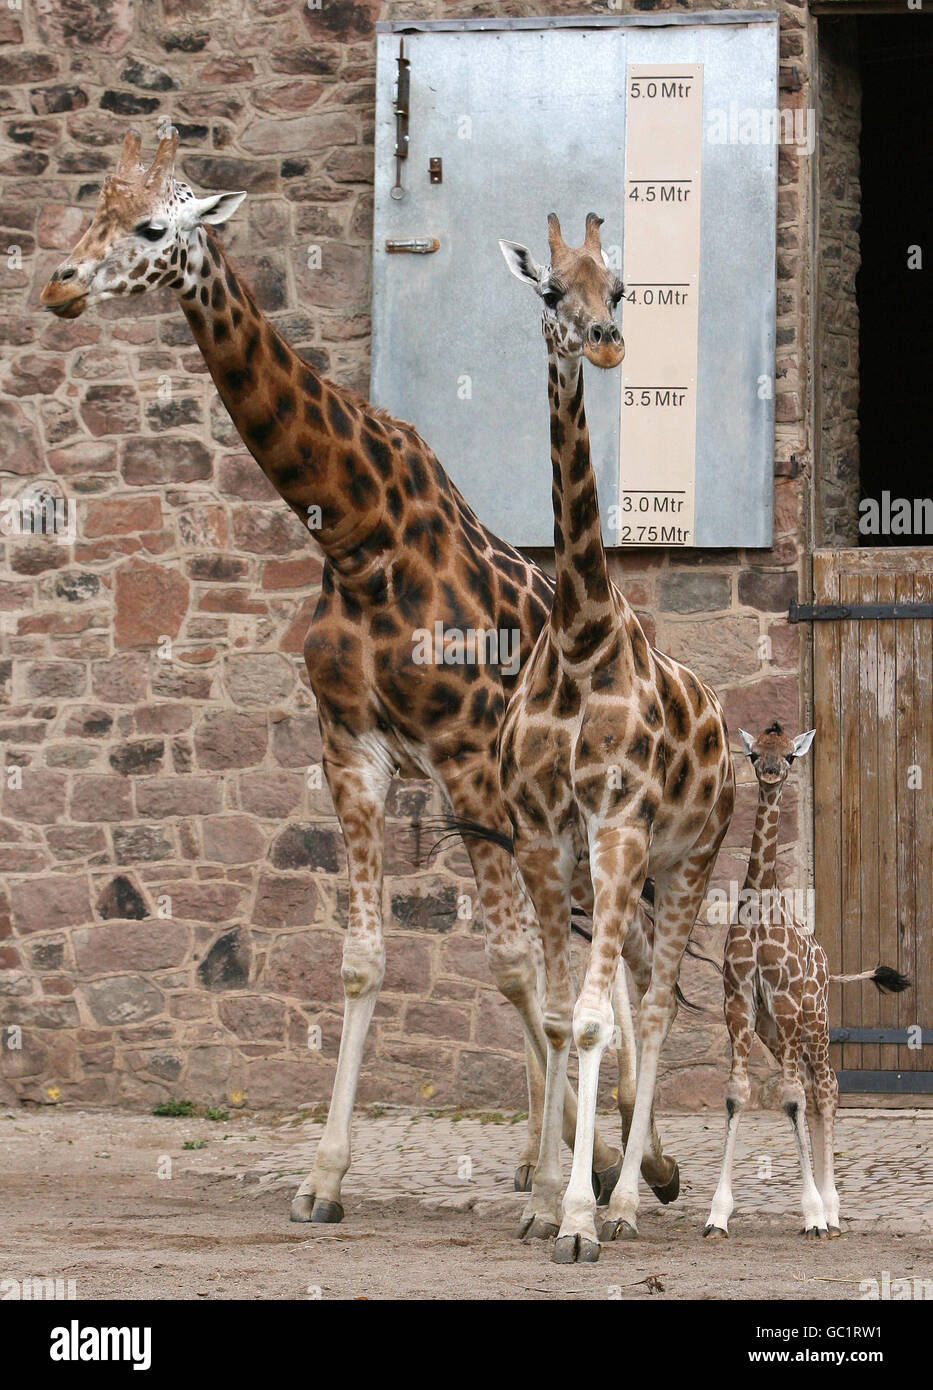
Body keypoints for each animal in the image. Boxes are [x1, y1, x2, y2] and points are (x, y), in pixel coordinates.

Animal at [39, 127, 635, 1220]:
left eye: (151, 229)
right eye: (93, 212)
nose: (58, 285)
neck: (356, 535)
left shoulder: (466, 760)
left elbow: (512, 966)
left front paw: (564, 1170)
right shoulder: (352, 749)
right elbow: (366, 961)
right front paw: (324, 1177)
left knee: (600, 946)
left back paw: (625, 1160)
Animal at [704, 721, 910, 1240]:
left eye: (791, 756)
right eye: (753, 752)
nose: (770, 771)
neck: (761, 911)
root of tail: (827, 967)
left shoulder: (785, 1003)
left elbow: (792, 1100)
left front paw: (814, 1213)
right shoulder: (739, 1005)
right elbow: (737, 1095)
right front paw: (717, 1215)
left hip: (813, 1020)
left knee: (828, 1088)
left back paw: (833, 1210)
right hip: (778, 1034)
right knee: (817, 1094)